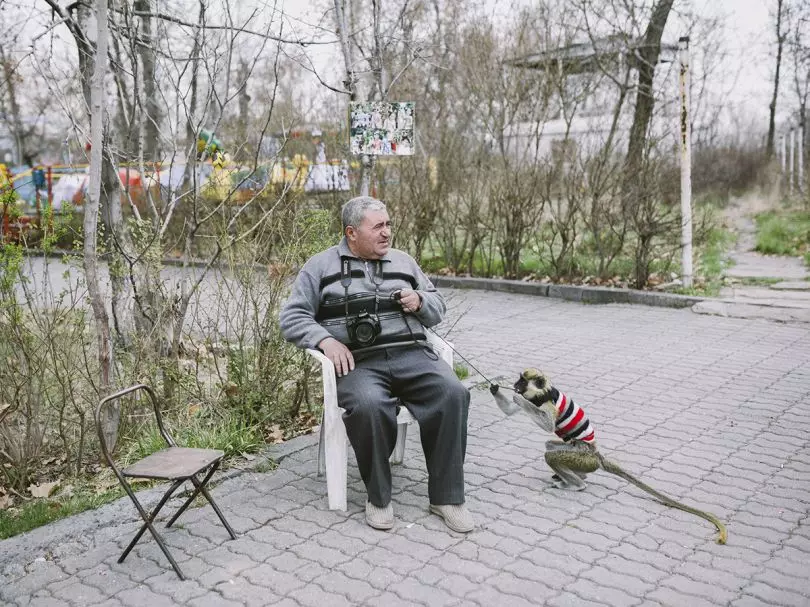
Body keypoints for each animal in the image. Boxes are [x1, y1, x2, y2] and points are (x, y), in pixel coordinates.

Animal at [490, 368, 728, 548]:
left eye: (523, 380)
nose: (515, 384)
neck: (544, 391)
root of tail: (596, 455)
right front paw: (494, 388)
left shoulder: (545, 401)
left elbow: (547, 424)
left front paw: (515, 396)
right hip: (581, 457)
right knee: (551, 446)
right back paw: (578, 478)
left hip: (582, 457)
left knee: (551, 453)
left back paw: (577, 485)